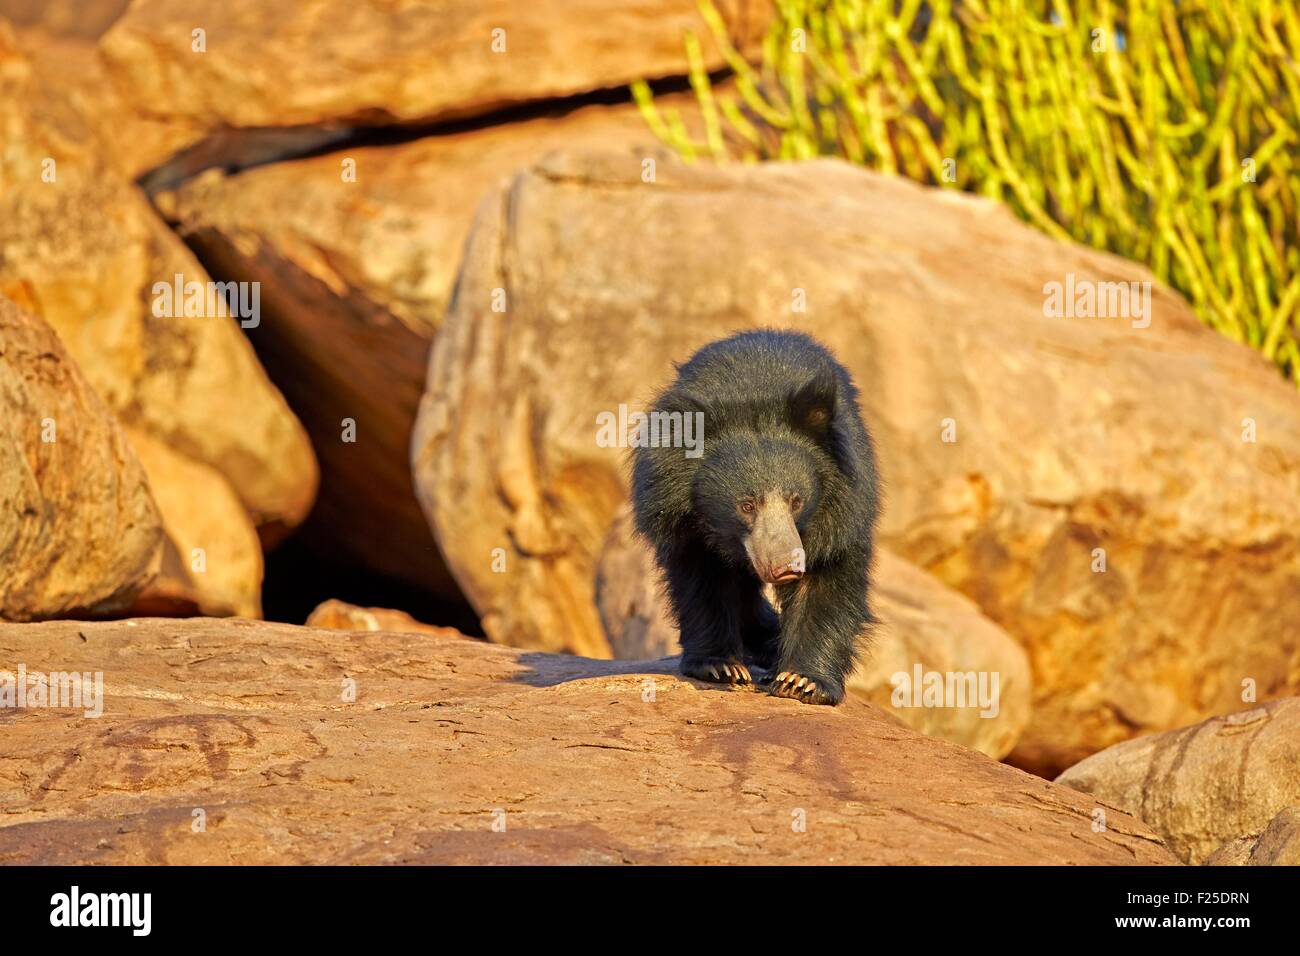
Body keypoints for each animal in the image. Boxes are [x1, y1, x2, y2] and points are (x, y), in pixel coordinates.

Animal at [631, 329, 880, 705]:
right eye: (746, 505)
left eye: (796, 501)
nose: (786, 567)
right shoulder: (679, 516)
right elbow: (702, 581)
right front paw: (721, 667)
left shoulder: (846, 504)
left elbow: (827, 579)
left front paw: (802, 681)